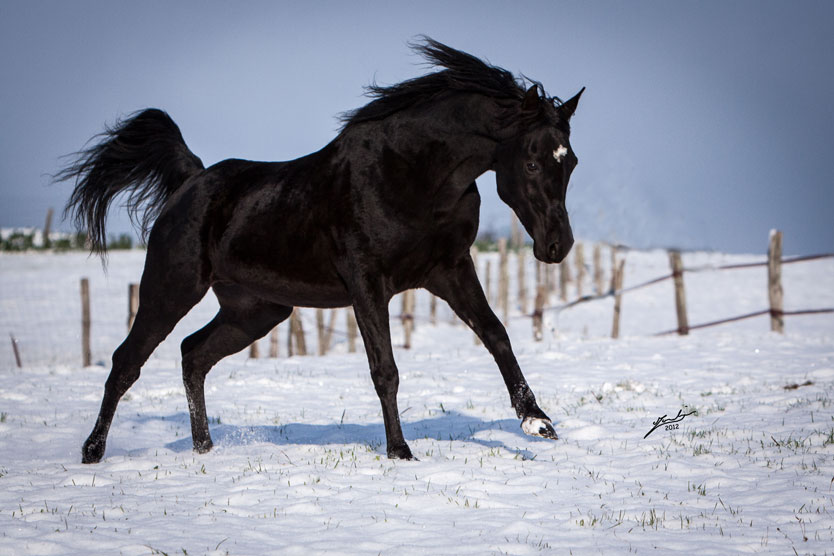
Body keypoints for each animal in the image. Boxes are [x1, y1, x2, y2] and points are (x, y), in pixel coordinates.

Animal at [57, 37, 583, 463]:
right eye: (532, 161)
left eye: (571, 161)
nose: (557, 246)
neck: (412, 174)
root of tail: (191, 180)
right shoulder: (367, 282)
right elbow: (385, 369)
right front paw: (400, 452)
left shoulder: (449, 270)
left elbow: (497, 336)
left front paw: (537, 421)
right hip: (171, 288)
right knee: (126, 362)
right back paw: (92, 453)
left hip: (256, 309)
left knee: (193, 355)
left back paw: (204, 450)